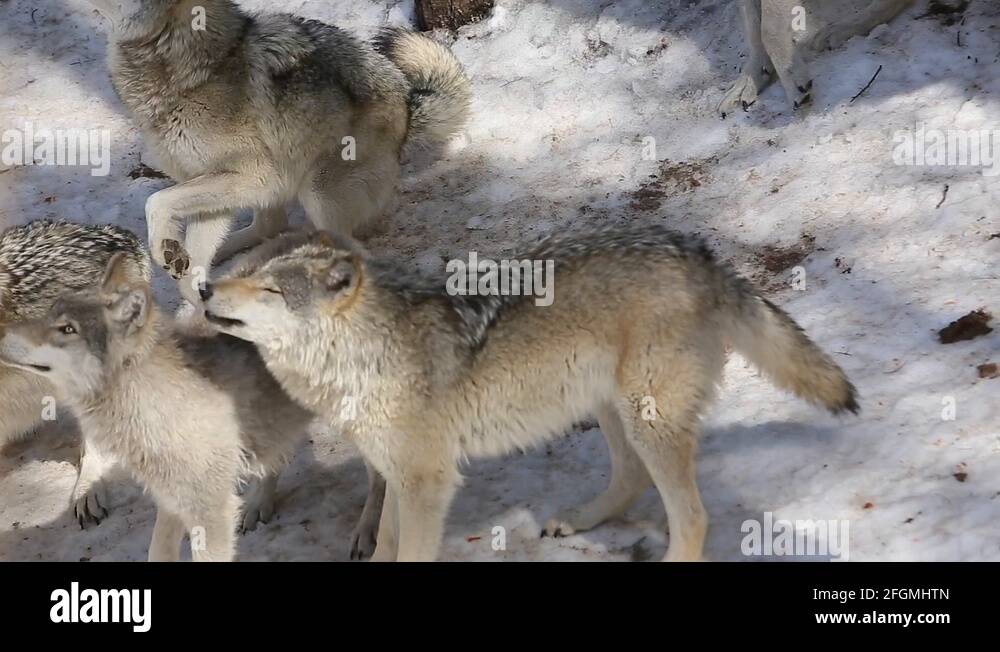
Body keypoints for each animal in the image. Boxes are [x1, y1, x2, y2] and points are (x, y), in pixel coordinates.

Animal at [0, 253, 382, 560]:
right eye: (50, 316)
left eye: (68, 329)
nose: (3, 336)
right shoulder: (172, 501)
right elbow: (156, 552)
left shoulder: (211, 511)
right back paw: (259, 506)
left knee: (380, 478)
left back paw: (368, 536)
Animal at [84, 0, 471, 305]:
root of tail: (407, 103)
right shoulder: (211, 184)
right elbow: (187, 275)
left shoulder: (255, 177)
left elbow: (156, 201)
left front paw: (166, 249)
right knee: (271, 226)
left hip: (316, 191)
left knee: (346, 251)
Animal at [198, 224, 859, 561]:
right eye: (249, 275)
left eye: (271, 291)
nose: (203, 287)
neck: (359, 362)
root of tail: (695, 251)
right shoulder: (397, 476)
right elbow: (383, 542)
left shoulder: (427, 482)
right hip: (607, 406)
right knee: (630, 478)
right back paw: (577, 521)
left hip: (646, 417)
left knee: (692, 517)